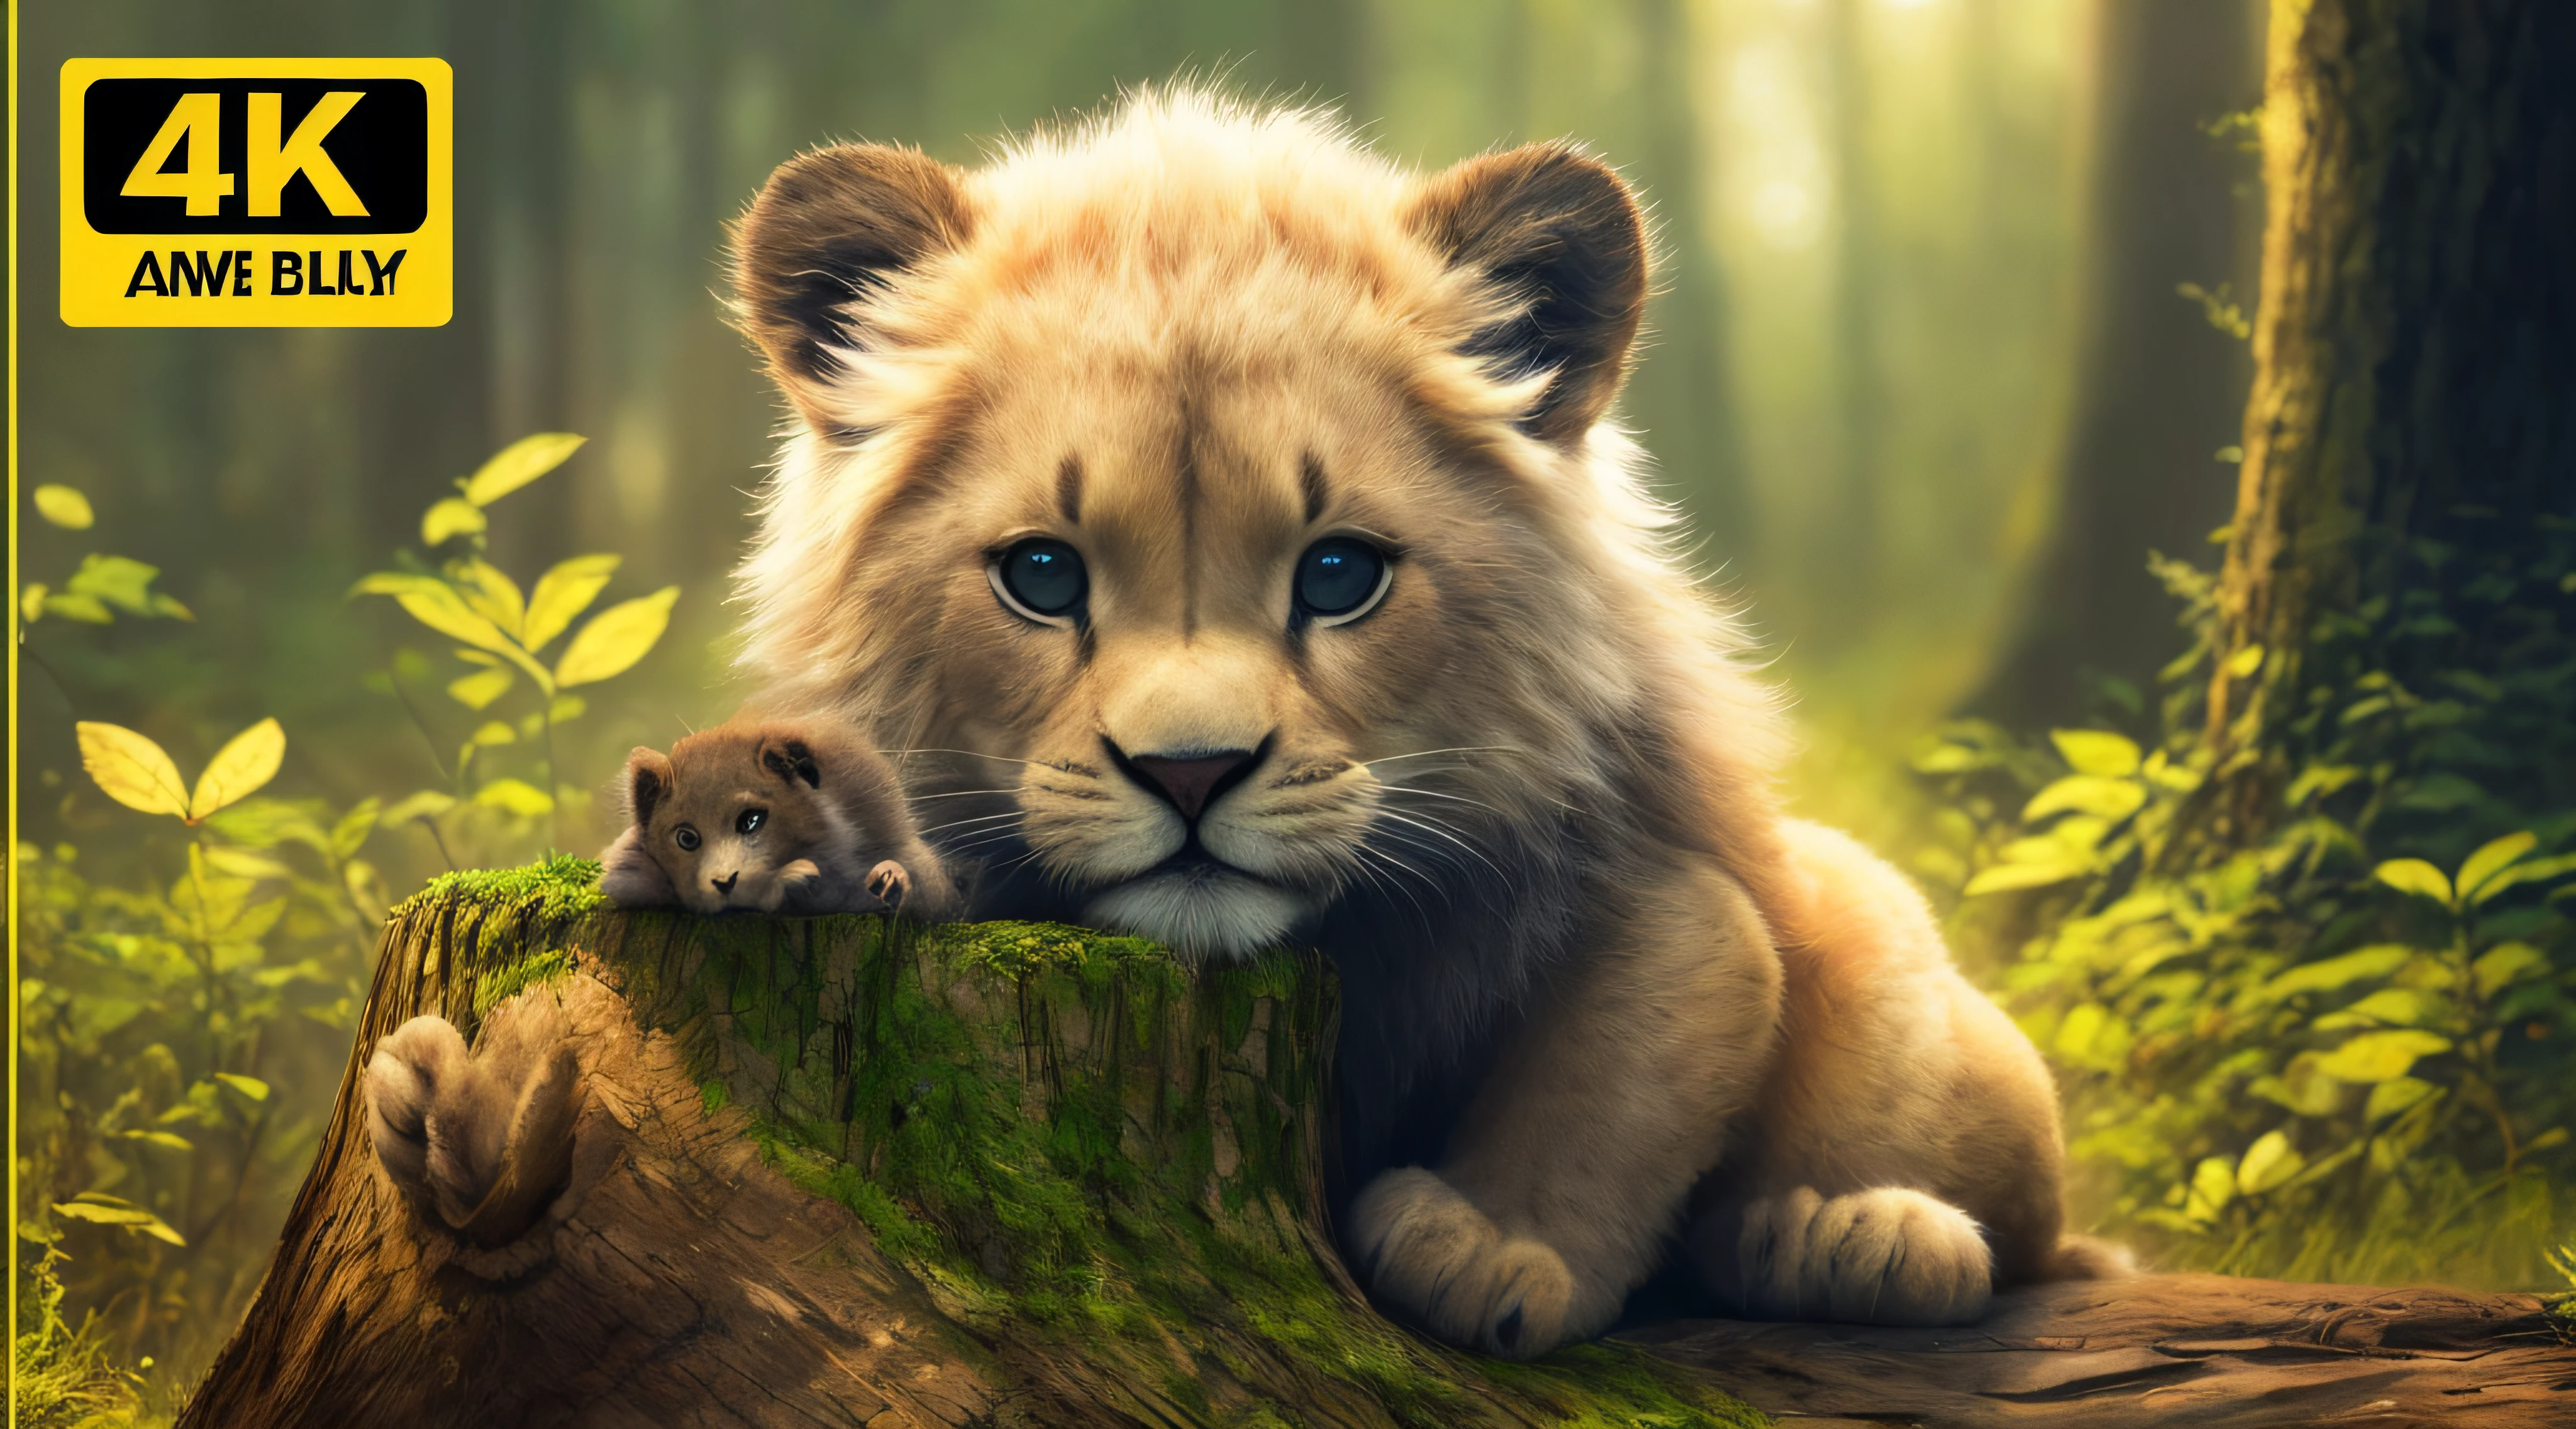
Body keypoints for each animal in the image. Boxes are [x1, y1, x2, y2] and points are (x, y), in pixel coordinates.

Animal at [724, 89, 2124, 1358]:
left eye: (1340, 573)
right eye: (1042, 575)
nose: (1192, 773)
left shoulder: (1646, 868)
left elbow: (1649, 1018)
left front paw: (1491, 1247)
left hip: (1913, 989)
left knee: (2031, 1222)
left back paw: (1854, 1237)